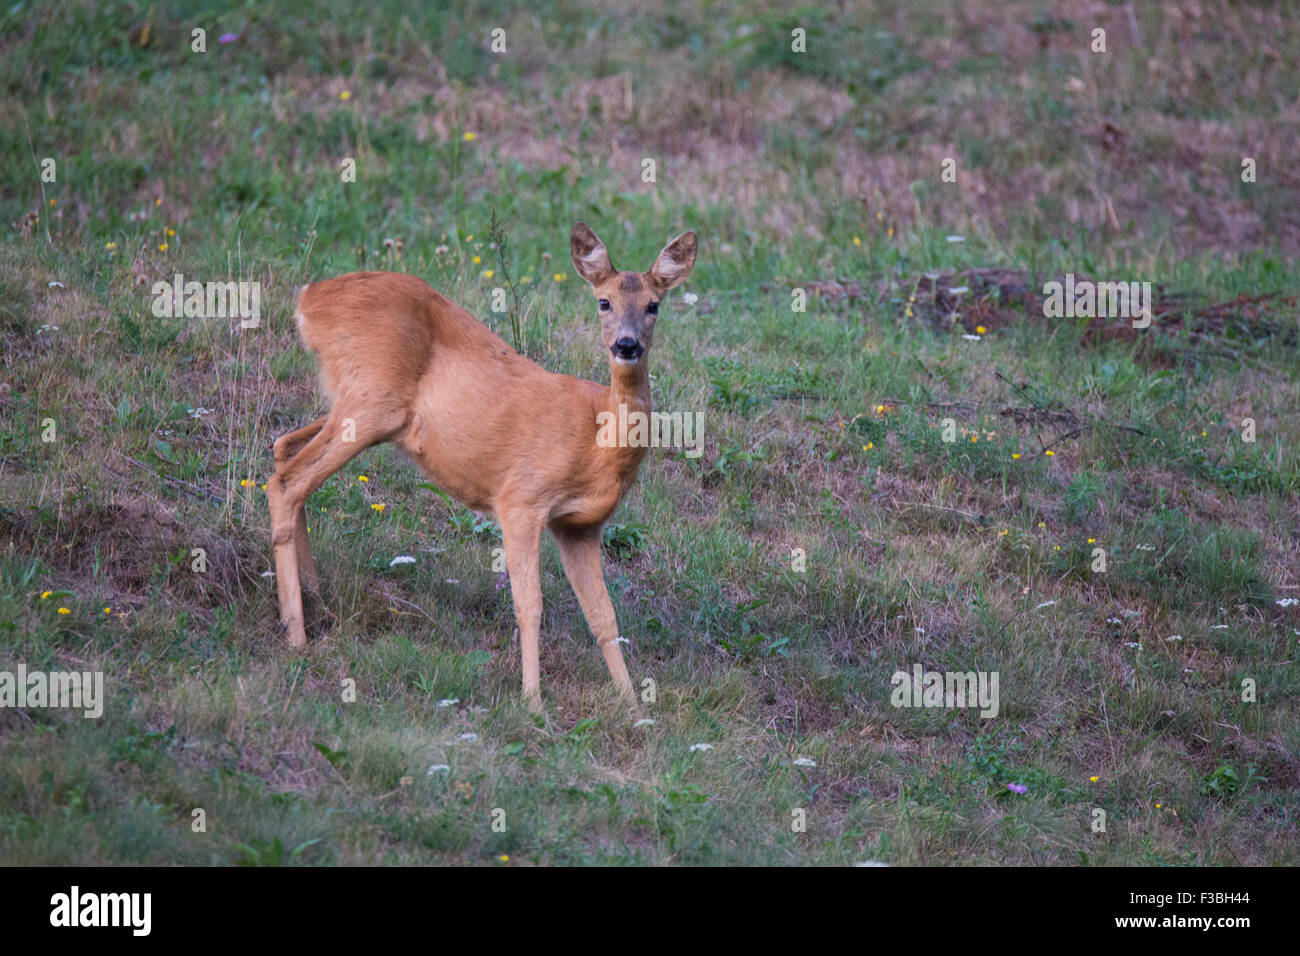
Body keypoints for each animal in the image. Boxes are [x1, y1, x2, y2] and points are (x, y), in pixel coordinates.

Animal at [267, 222, 697, 709]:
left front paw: (630, 704)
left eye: (653, 305)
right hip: (371, 401)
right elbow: (530, 606)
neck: (598, 440)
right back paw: (296, 635)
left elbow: (604, 618)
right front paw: (533, 701)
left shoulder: (580, 527)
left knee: (283, 449)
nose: (626, 345)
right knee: (286, 481)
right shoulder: (521, 498)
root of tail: (309, 298)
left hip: (355, 406)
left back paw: (313, 599)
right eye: (603, 301)